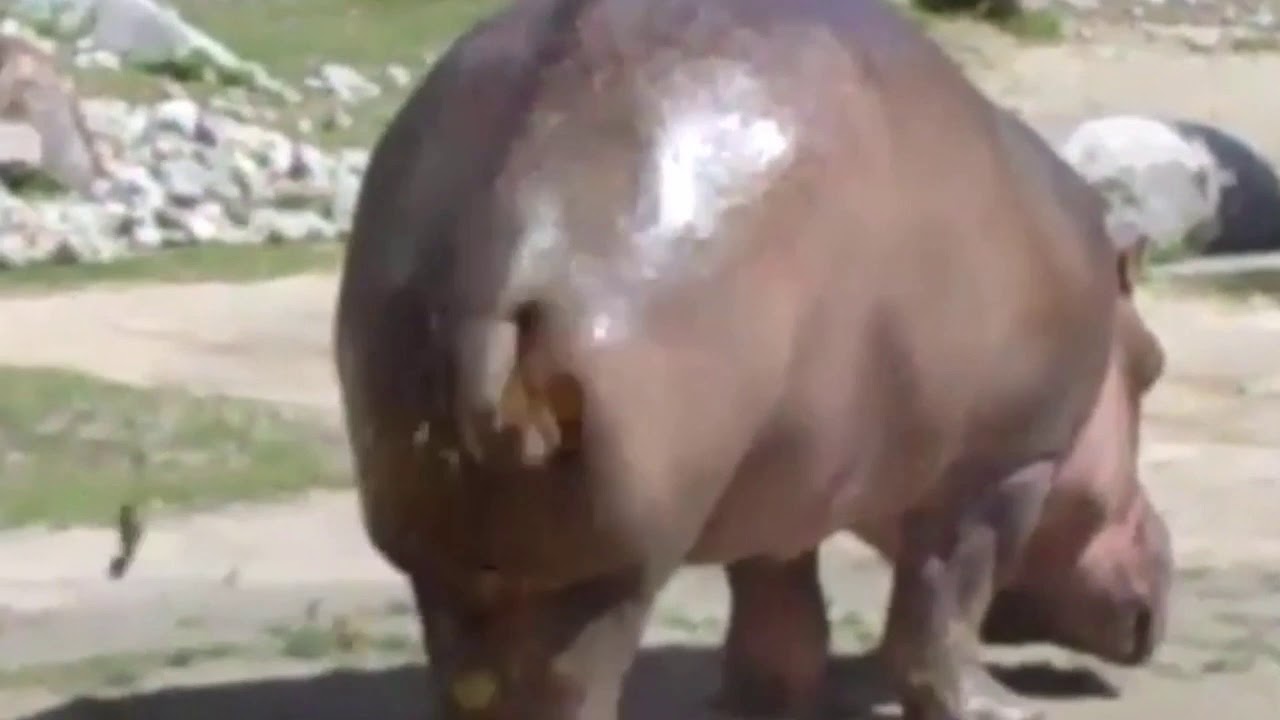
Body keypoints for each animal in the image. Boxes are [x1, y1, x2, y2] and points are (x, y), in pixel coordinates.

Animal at [333, 0, 1172, 718]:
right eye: (1153, 365)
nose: (1162, 564)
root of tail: (508, 240)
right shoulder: (1004, 467)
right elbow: (942, 610)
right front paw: (1003, 707)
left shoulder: (779, 478)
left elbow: (779, 607)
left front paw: (762, 701)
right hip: (607, 570)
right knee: (566, 683)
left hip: (448, 551)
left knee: (470, 675)